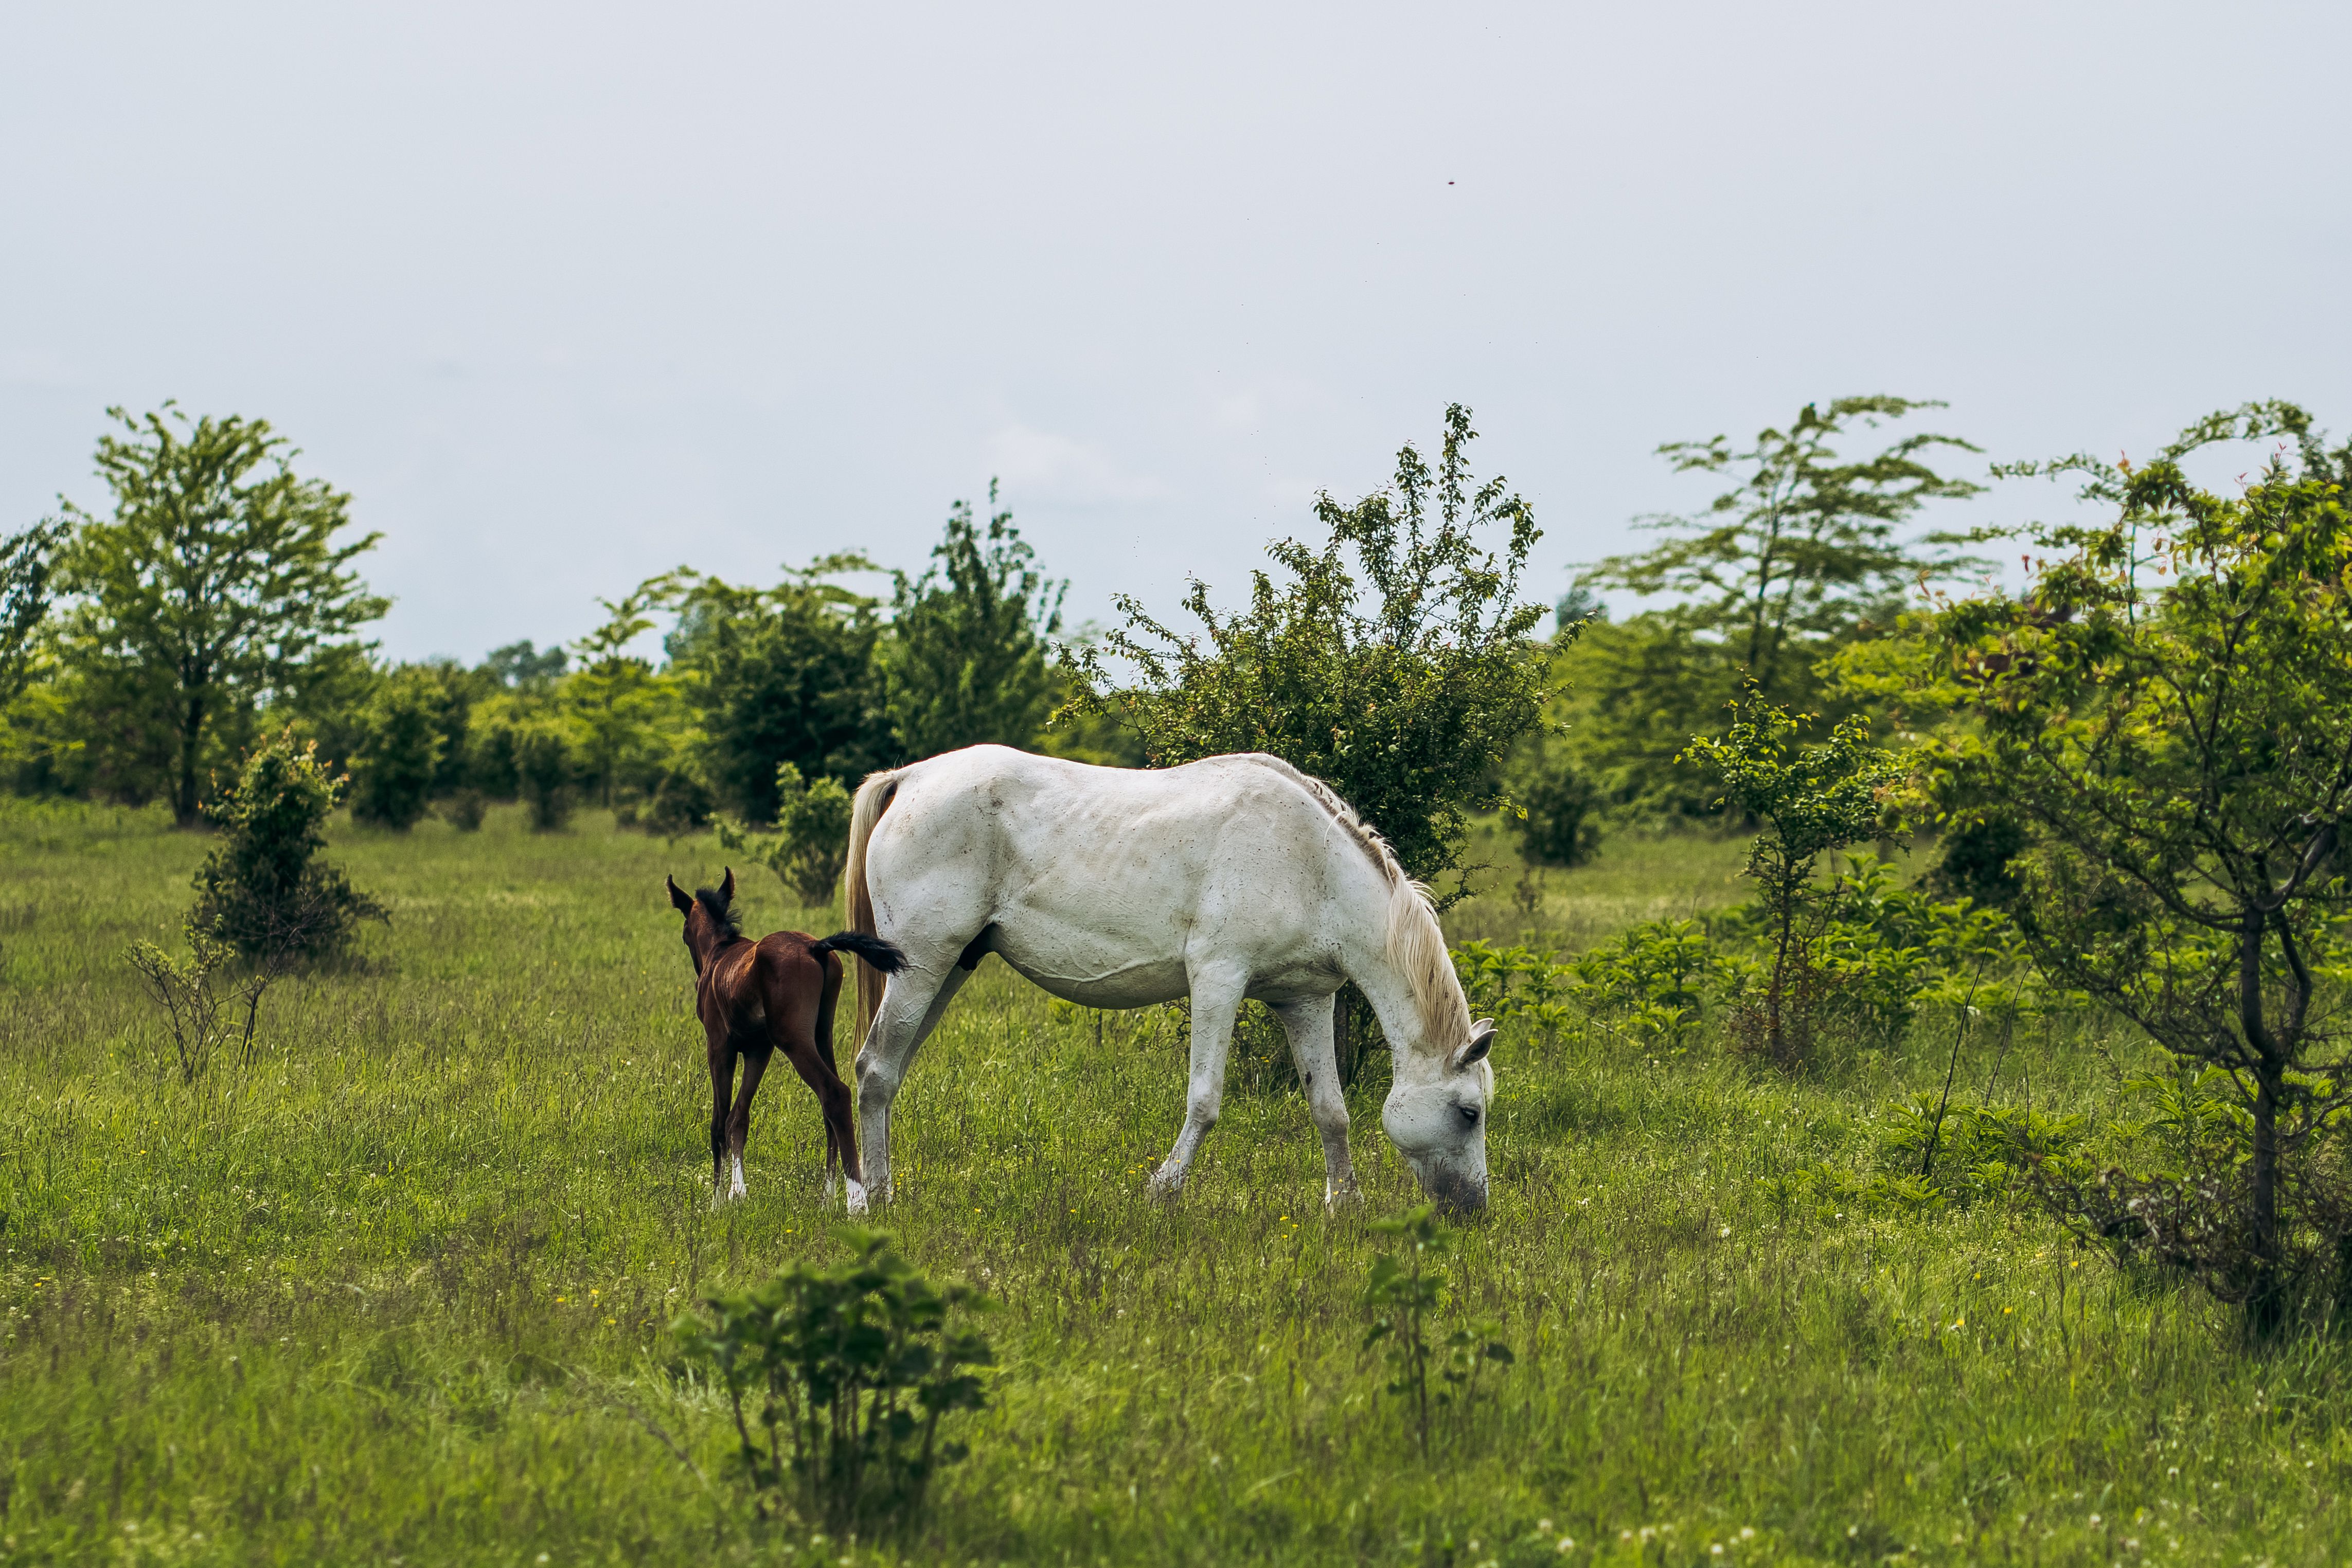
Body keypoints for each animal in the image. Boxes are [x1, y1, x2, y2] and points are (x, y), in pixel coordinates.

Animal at [666, 869, 907, 1207]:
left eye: (685, 932)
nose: (698, 975)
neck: (720, 954)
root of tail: (816, 947)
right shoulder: (759, 1049)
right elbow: (739, 1118)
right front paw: (737, 1191)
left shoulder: (720, 1048)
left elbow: (719, 1122)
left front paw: (717, 1200)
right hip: (821, 1035)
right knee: (828, 1108)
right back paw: (827, 1197)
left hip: (793, 1039)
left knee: (835, 1093)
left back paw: (856, 1201)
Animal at [838, 745, 1496, 1215]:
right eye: (1470, 1113)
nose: (1474, 1212)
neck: (1312, 866)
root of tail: (910, 780)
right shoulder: (1219, 978)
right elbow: (1205, 1100)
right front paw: (1164, 1190)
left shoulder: (1304, 1000)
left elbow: (1329, 1109)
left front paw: (1346, 1205)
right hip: (923, 965)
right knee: (874, 1070)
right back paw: (871, 1200)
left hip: (947, 968)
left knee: (889, 1073)